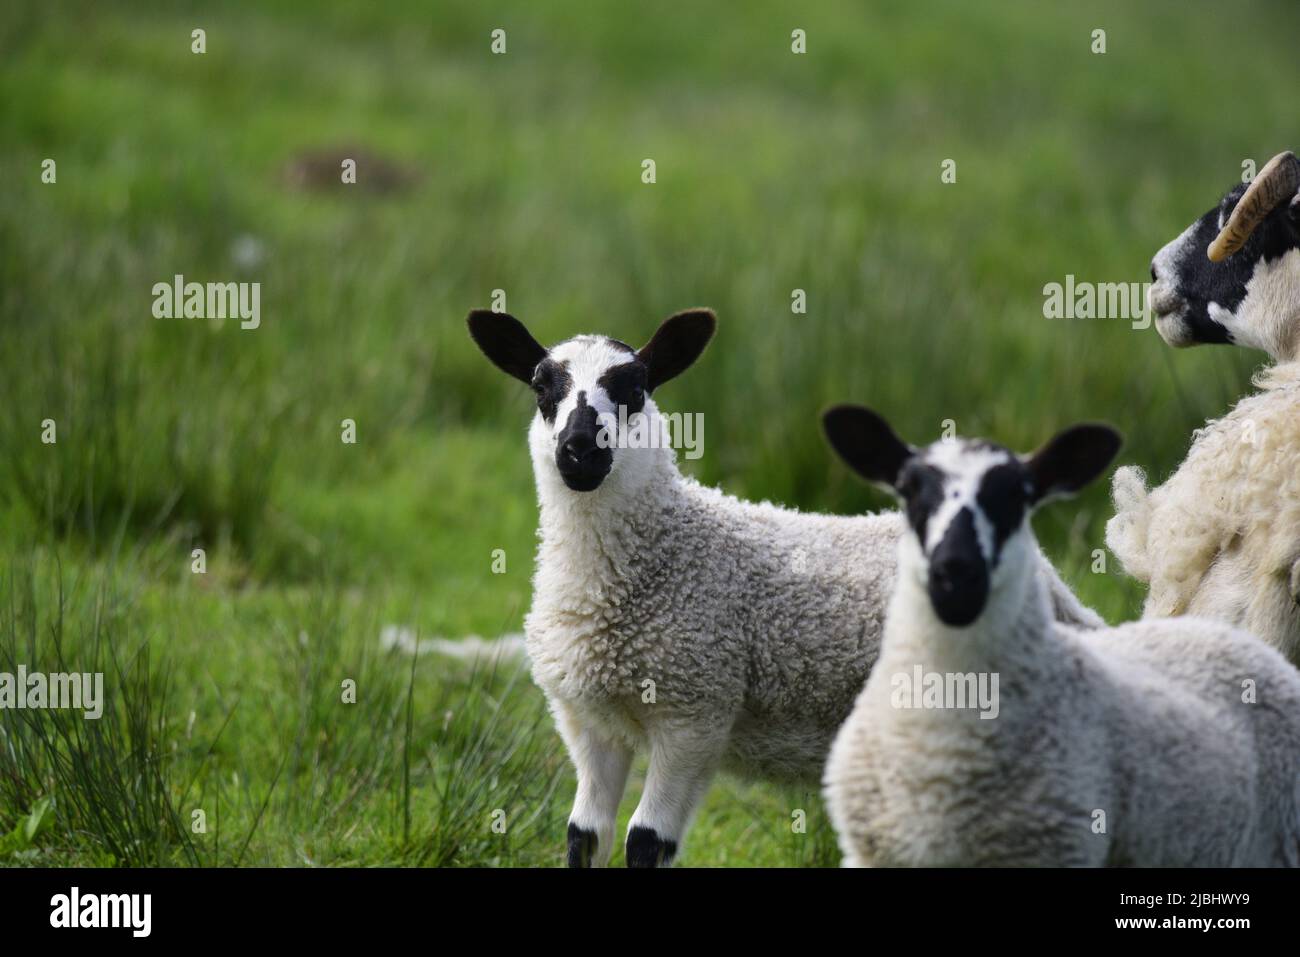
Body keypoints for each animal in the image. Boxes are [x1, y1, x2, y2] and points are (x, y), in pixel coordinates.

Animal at [466, 307, 1104, 867]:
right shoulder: (588, 721)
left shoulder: (695, 712)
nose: (578, 450)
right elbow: (583, 837)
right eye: (542, 387)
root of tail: (1060, 591)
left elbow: (646, 843)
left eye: (635, 388)